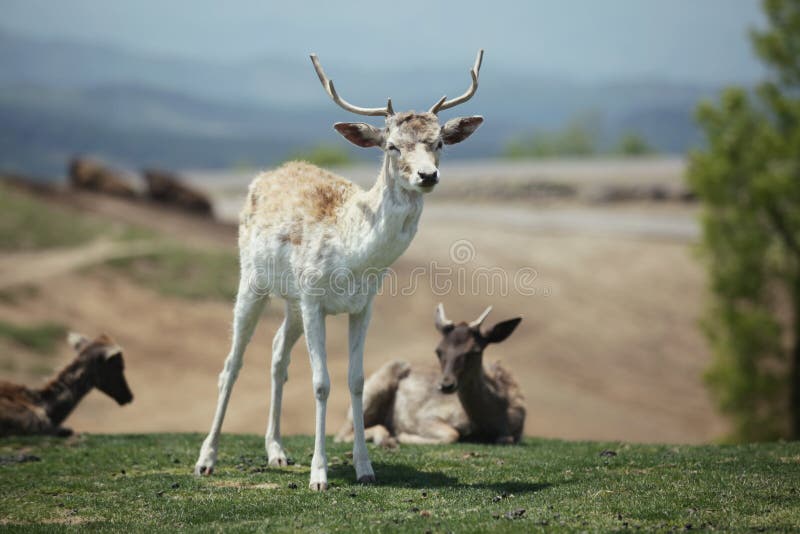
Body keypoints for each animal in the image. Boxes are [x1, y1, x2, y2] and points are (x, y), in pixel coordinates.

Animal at [194, 50, 486, 490]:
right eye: (392, 146)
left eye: (438, 143)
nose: (427, 175)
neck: (354, 258)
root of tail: (264, 176)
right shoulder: (315, 301)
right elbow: (321, 383)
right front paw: (319, 475)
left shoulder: (362, 305)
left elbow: (356, 381)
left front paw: (365, 468)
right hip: (254, 281)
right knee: (231, 365)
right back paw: (206, 459)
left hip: (292, 302)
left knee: (277, 354)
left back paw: (276, 451)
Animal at [335, 304, 525, 447]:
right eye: (438, 350)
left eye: (475, 351)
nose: (446, 385)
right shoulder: (427, 416)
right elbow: (452, 434)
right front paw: (403, 435)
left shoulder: (516, 431)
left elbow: (506, 439)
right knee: (342, 434)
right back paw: (387, 438)